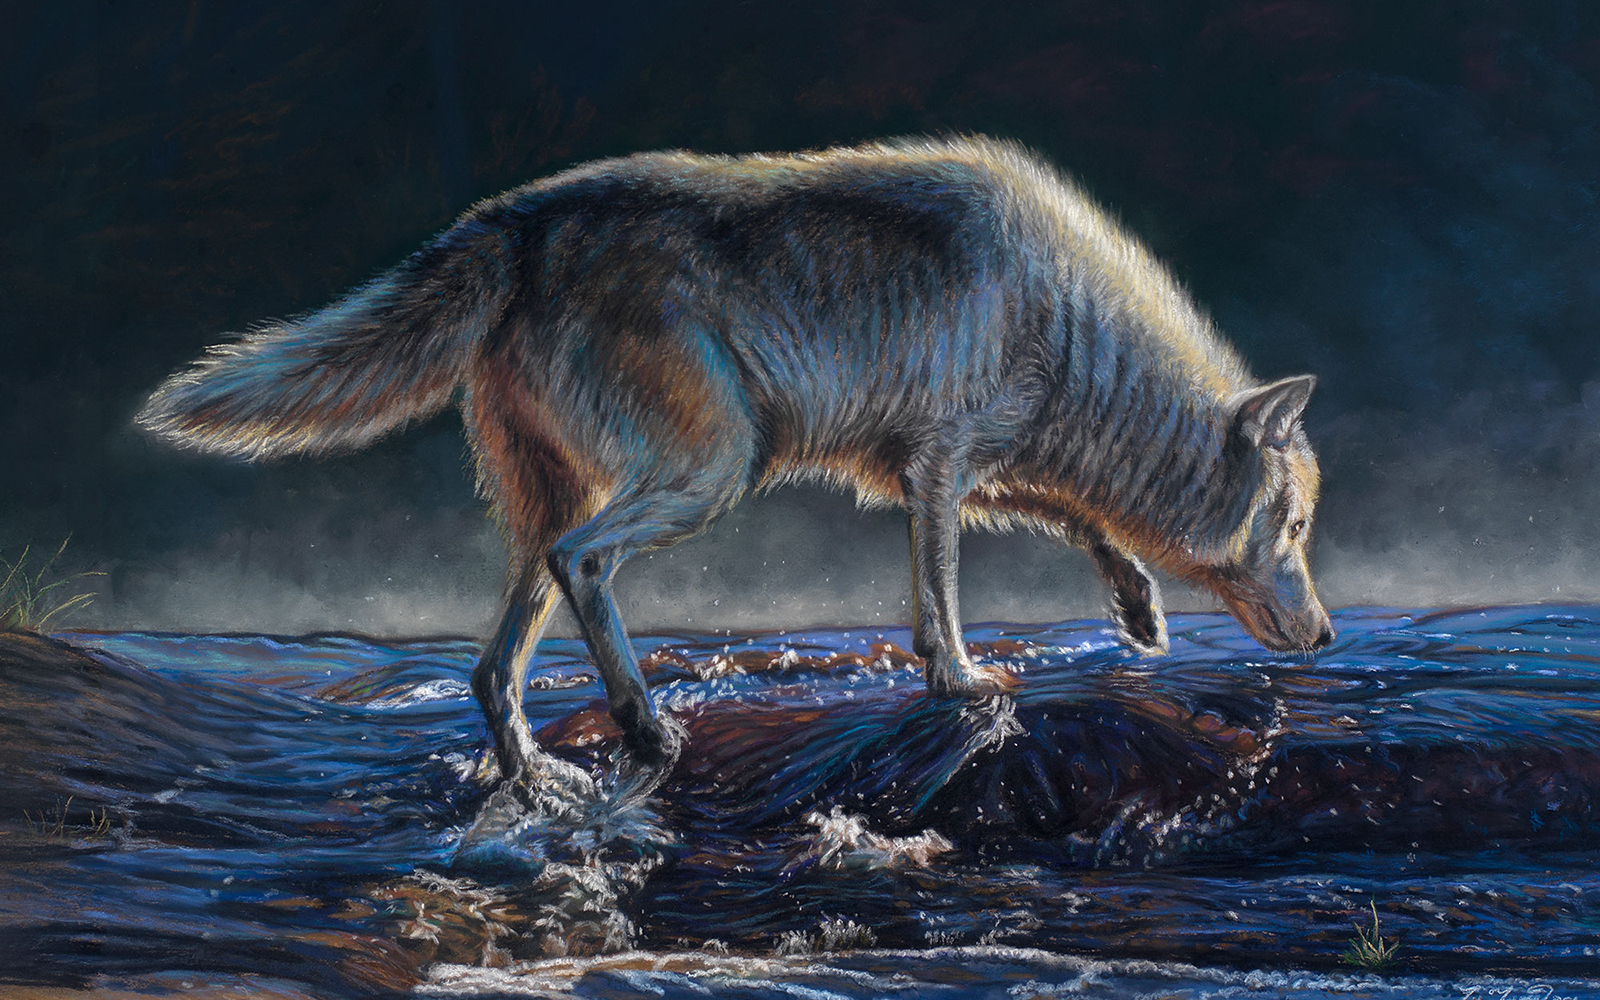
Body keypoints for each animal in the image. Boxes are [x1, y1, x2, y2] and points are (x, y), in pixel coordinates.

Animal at [138, 136, 1333, 786]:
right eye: (1299, 527)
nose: (1326, 634)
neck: (1078, 327)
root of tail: (516, 217)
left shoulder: (957, 467)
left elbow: (1075, 520)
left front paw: (1138, 610)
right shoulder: (939, 466)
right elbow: (942, 596)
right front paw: (957, 681)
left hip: (554, 501)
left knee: (492, 663)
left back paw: (538, 778)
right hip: (708, 475)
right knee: (584, 564)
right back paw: (641, 725)